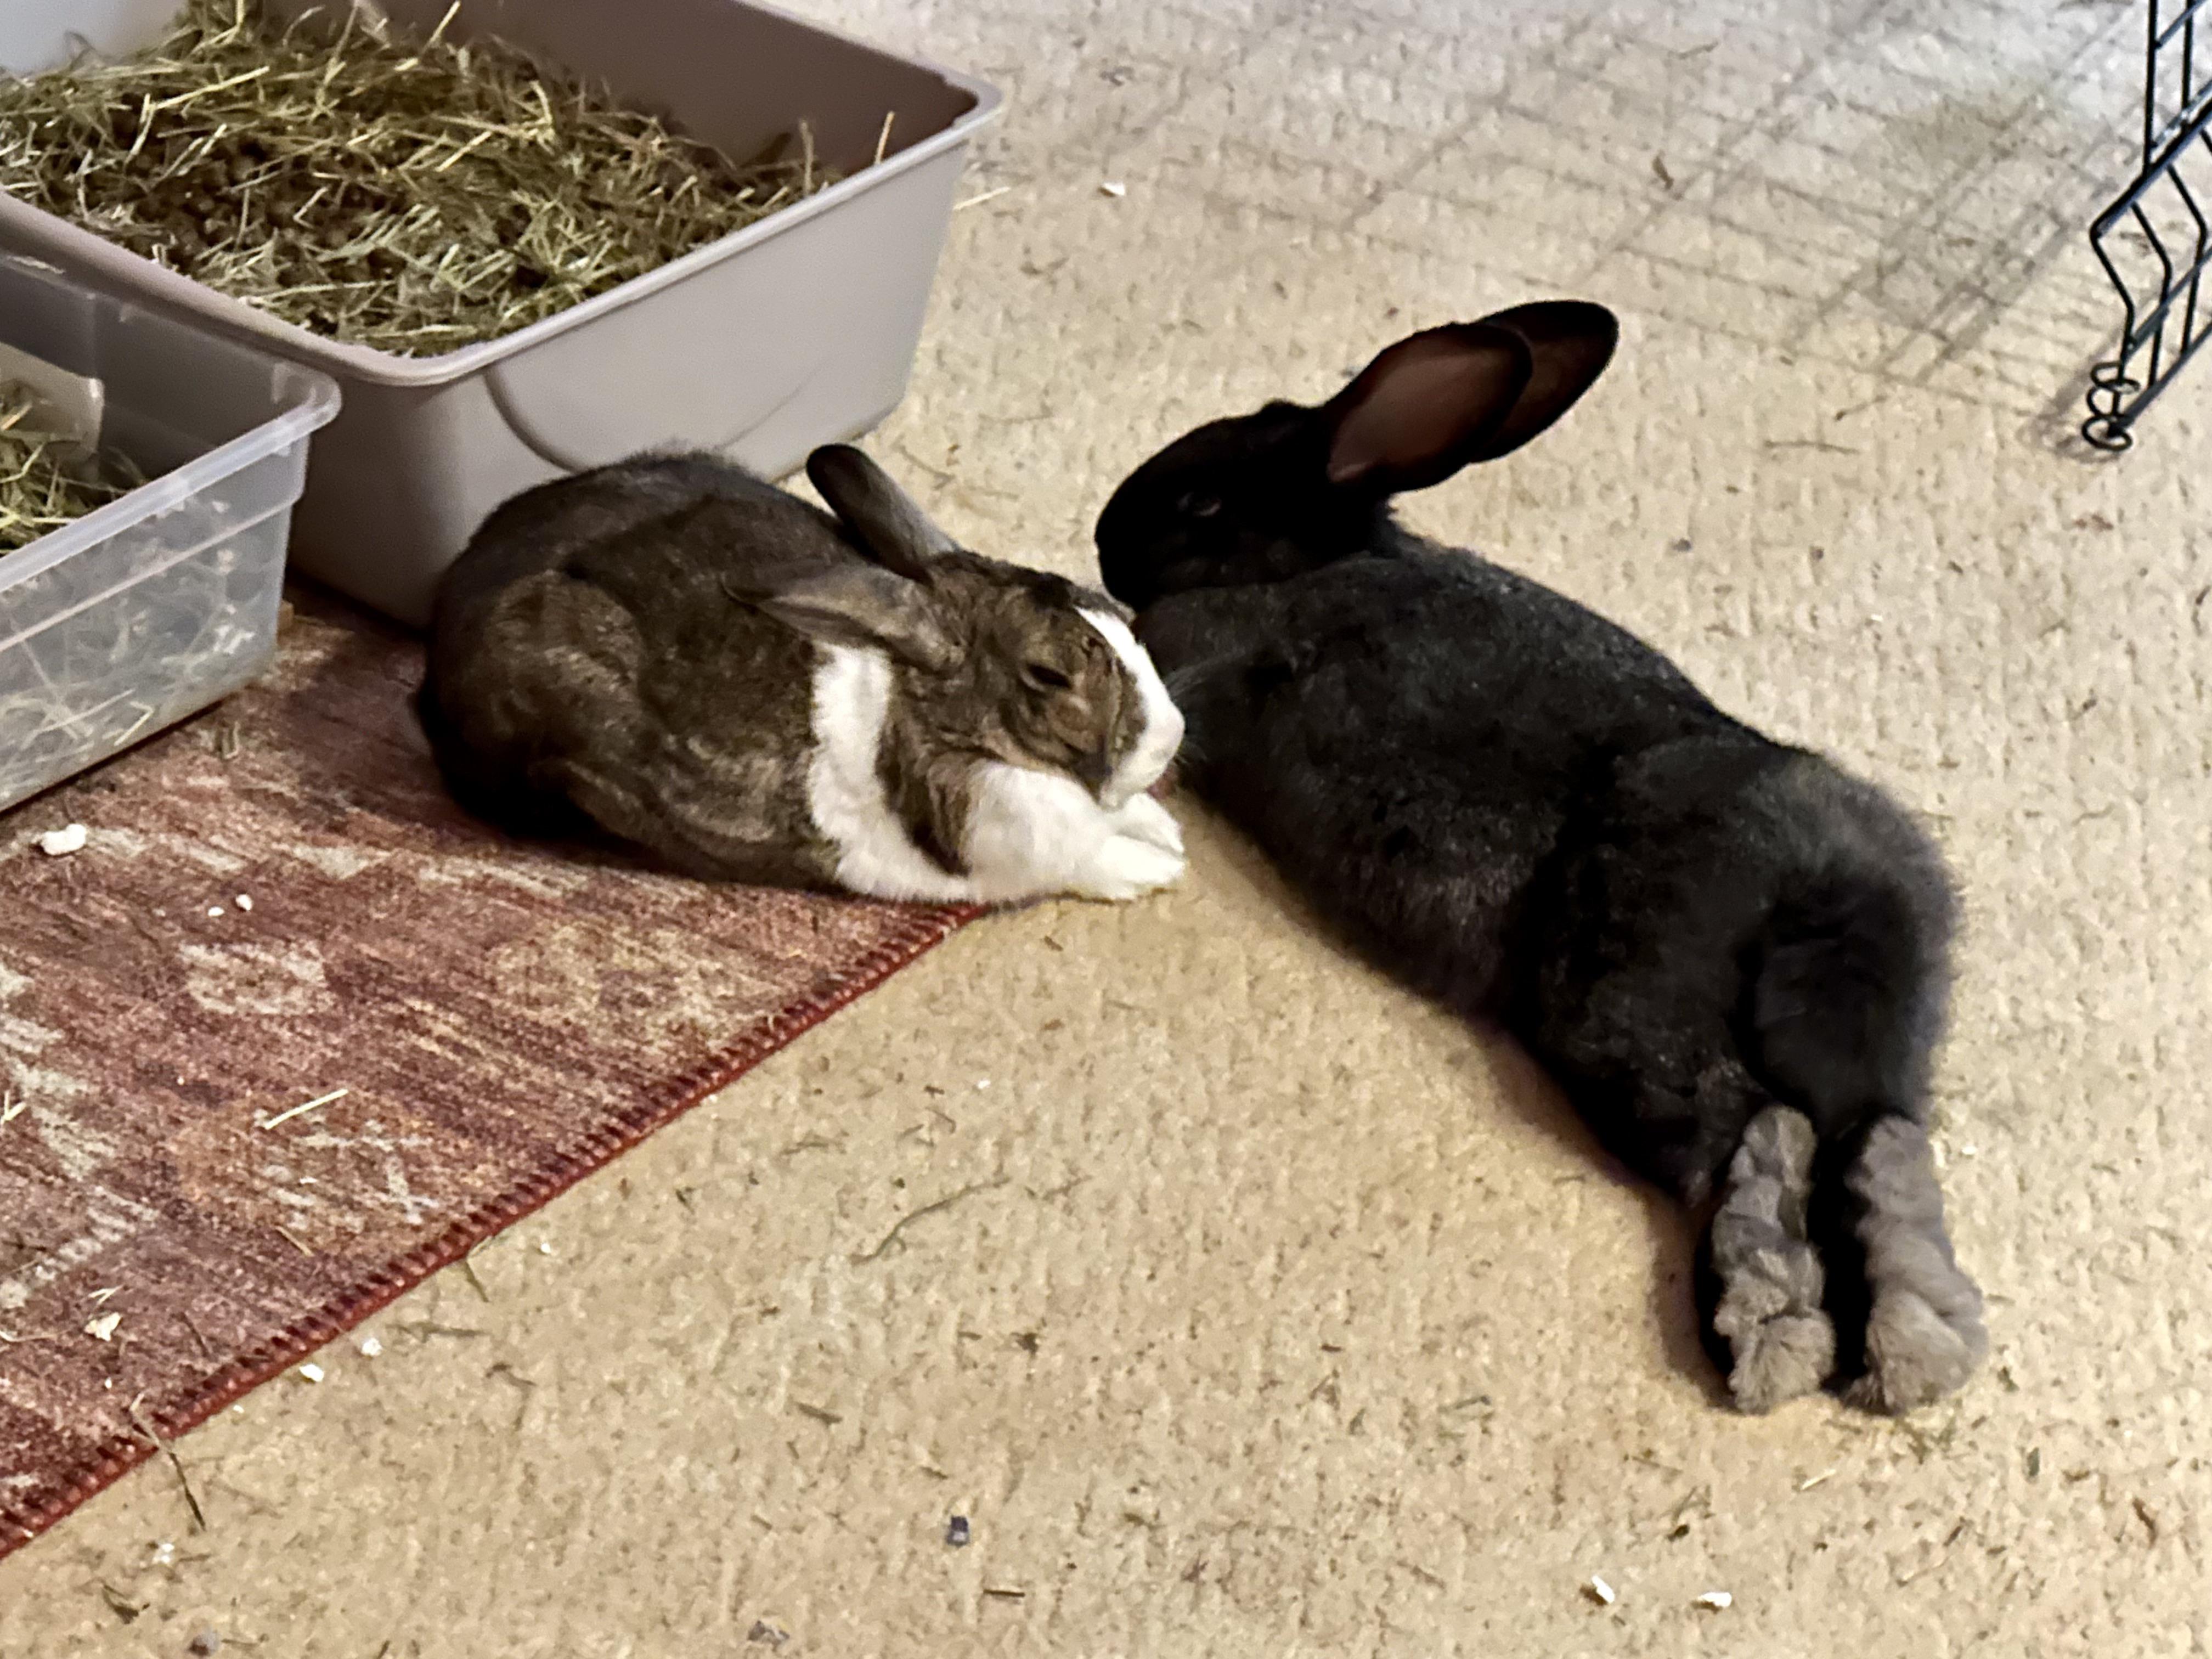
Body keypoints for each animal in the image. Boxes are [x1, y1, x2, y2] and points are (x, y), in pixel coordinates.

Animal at [418, 443, 1187, 905]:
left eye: (1123, 618)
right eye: (1048, 676)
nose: (1170, 742)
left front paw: (1167, 834)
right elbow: (1091, 861)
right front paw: (1163, 869)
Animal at [1092, 301, 1986, 1415]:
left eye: (1202, 500)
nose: (1104, 538)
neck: (1298, 565)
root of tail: (1825, 874)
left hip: (1629, 1005)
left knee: (1758, 1133)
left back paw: (1763, 1335)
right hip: (1875, 1036)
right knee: (1877, 1144)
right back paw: (1915, 1352)